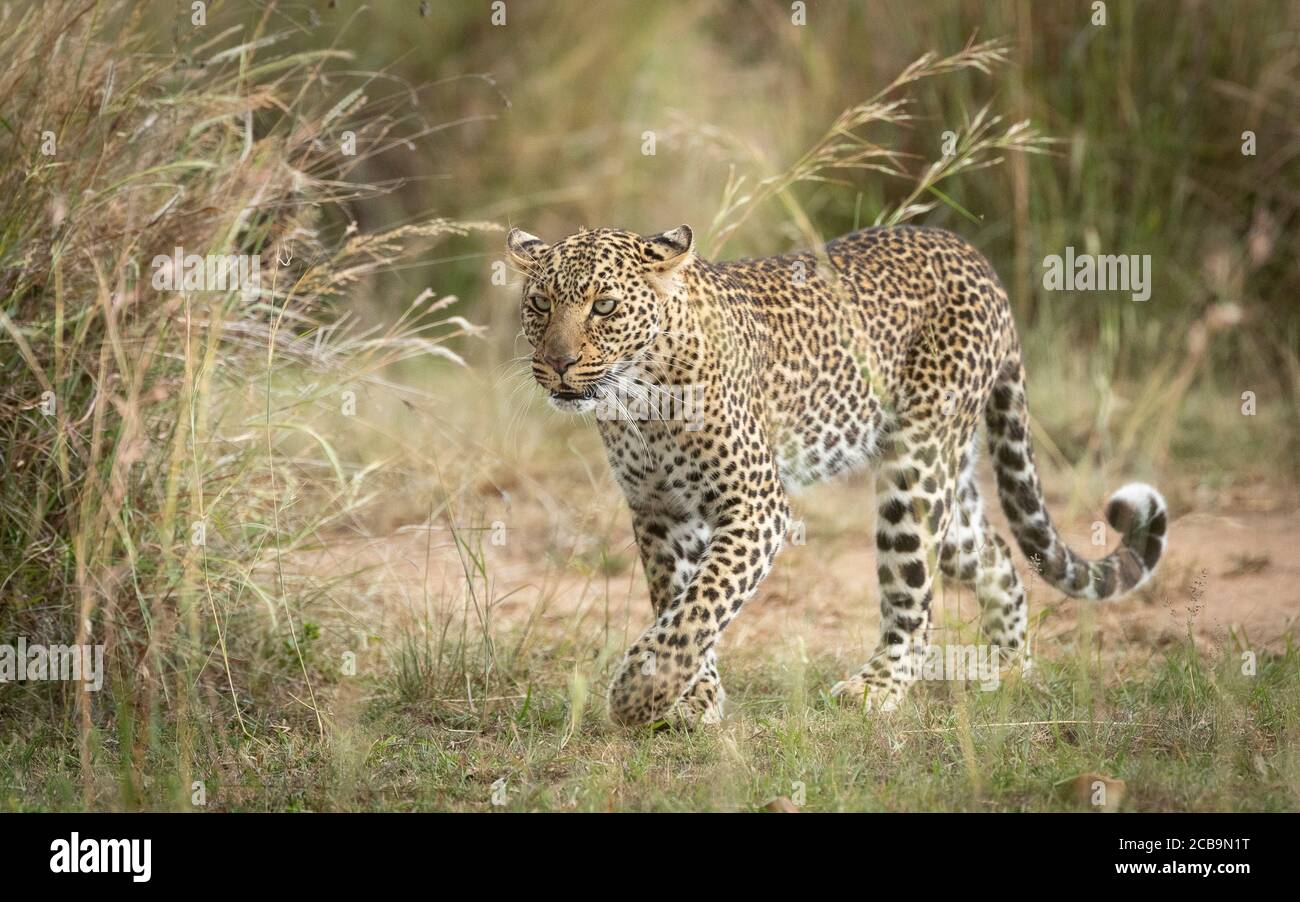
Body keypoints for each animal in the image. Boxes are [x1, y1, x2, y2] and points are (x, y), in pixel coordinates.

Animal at [506, 222, 1167, 726]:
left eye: (604, 306)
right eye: (539, 304)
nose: (557, 364)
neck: (640, 399)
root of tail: (972, 253)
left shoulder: (755, 505)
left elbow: (705, 600)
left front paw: (639, 694)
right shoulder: (659, 513)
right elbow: (681, 603)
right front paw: (692, 697)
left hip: (915, 470)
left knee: (915, 599)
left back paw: (876, 688)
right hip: (949, 488)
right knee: (997, 557)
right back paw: (1012, 670)